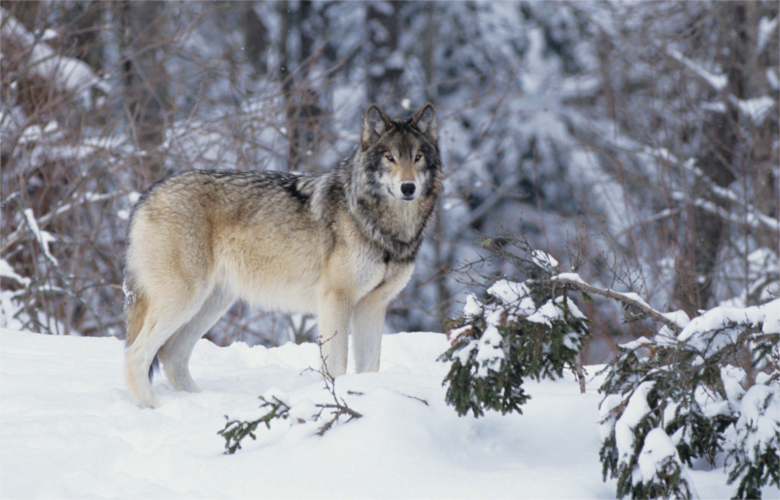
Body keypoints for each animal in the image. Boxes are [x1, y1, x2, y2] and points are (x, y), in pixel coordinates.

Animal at [123, 103, 442, 408]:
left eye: (417, 157)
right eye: (390, 157)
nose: (408, 188)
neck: (380, 224)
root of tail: (146, 197)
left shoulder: (373, 305)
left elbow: (369, 367)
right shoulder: (336, 299)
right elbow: (336, 365)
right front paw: (338, 399)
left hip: (211, 304)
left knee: (171, 356)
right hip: (185, 300)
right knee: (135, 354)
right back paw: (151, 408)